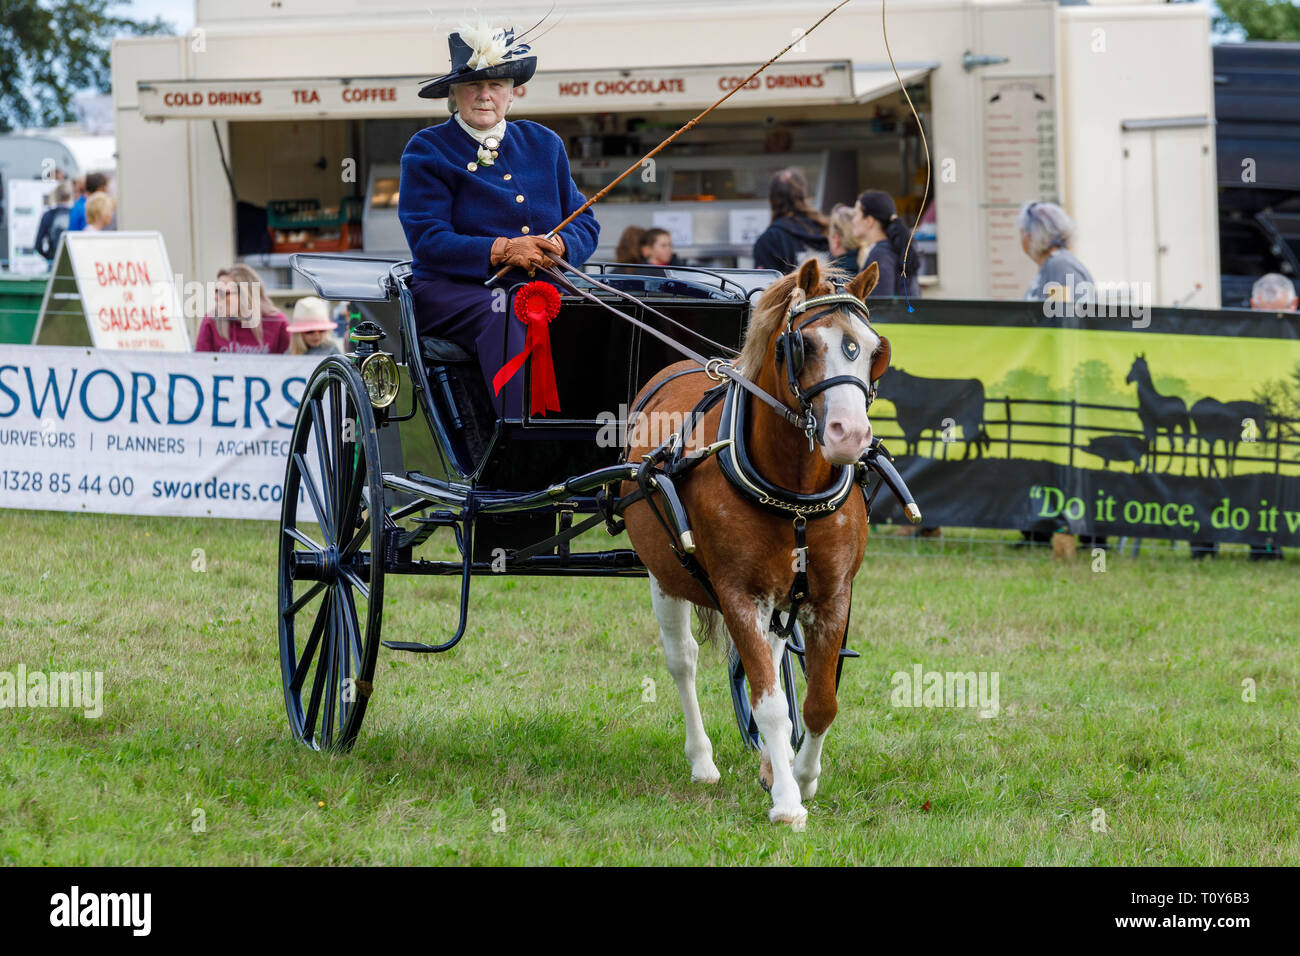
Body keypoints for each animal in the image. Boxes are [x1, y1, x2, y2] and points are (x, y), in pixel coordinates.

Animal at [621, 258, 888, 828]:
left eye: (872, 348)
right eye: (803, 345)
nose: (850, 434)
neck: (795, 494)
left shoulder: (831, 596)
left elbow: (819, 702)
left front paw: (801, 775)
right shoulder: (739, 595)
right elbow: (769, 704)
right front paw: (787, 802)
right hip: (662, 576)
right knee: (683, 661)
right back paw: (702, 761)